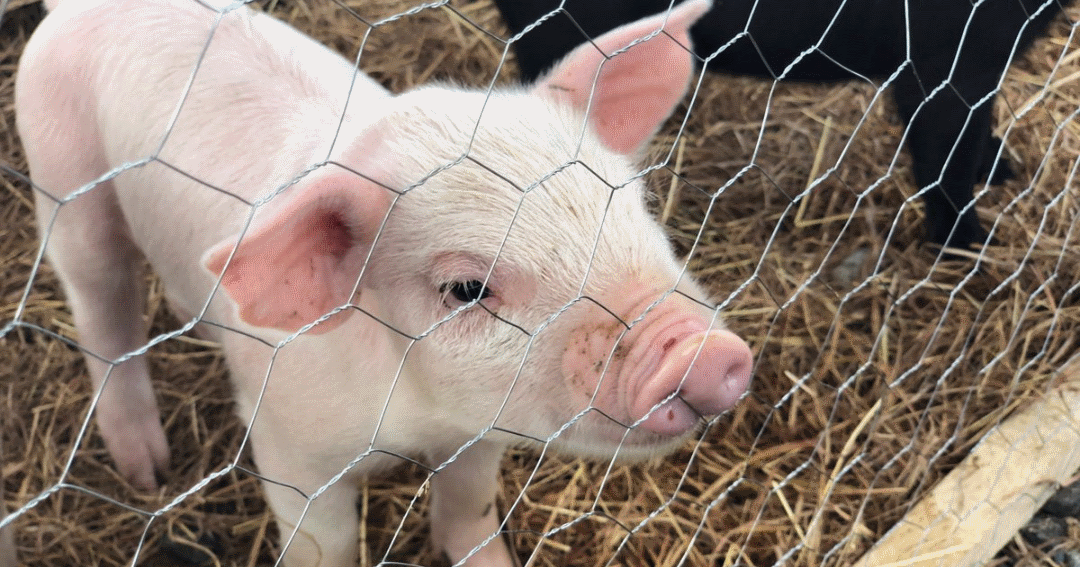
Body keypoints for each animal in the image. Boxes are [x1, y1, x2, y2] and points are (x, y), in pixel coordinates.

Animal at [16, 0, 754, 565]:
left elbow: (469, 506)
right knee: (102, 306)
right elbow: (327, 543)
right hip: (62, 176)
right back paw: (148, 470)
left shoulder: (478, 431)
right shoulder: (287, 442)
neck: (416, 418)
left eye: (631, 203)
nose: (702, 352)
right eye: (465, 288)